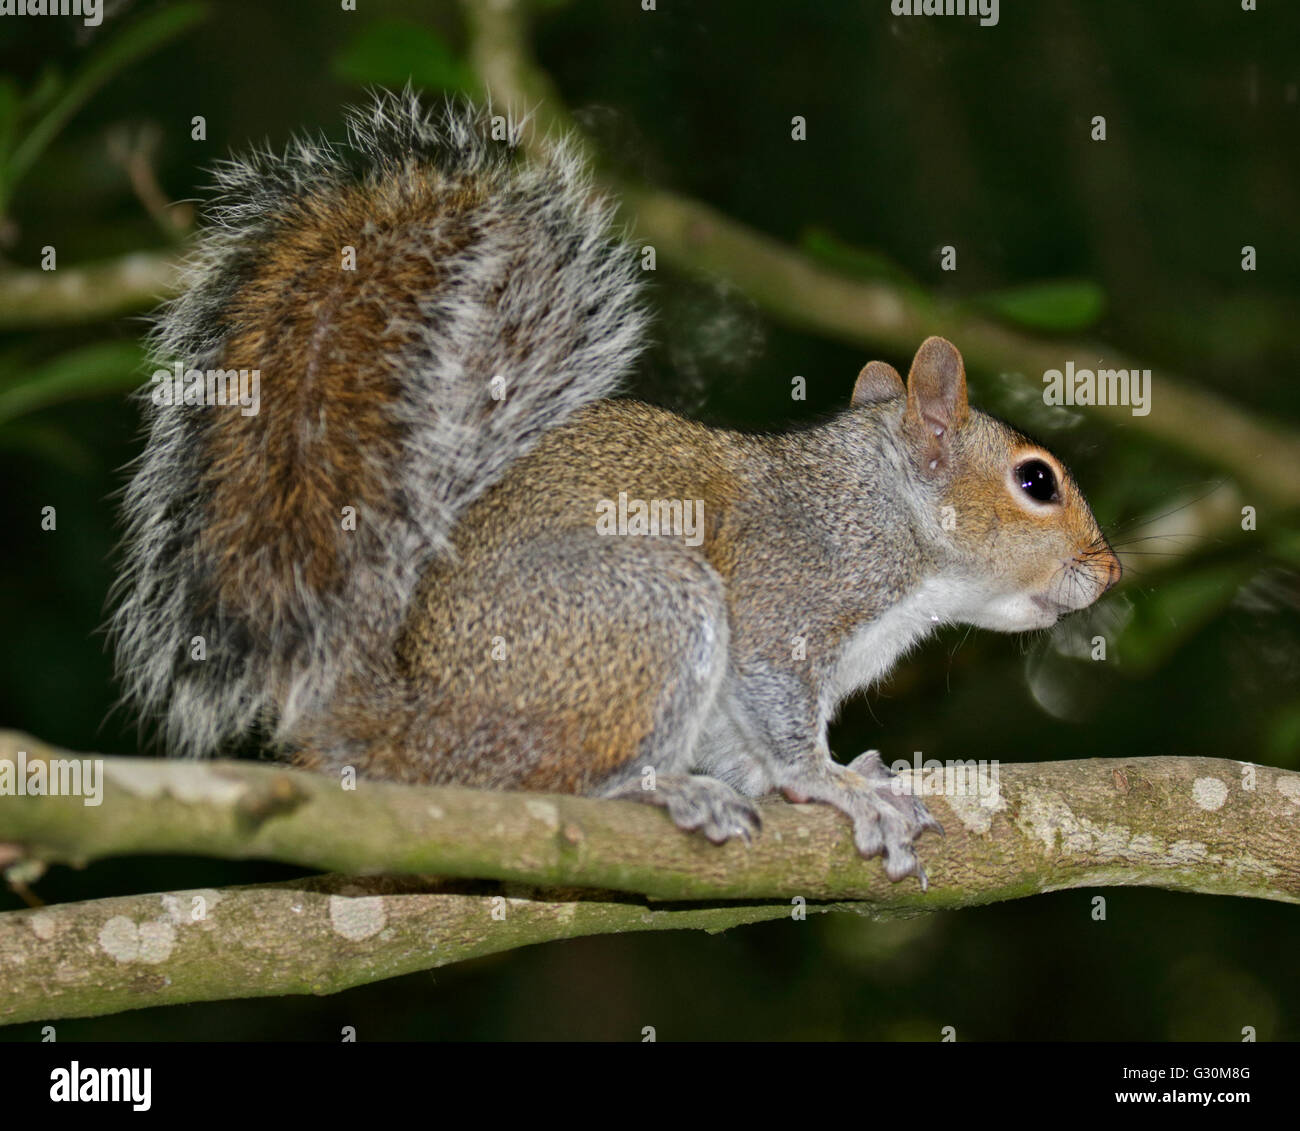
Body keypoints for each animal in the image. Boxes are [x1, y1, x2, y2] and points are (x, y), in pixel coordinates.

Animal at [110, 91, 1121, 886]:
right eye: (1036, 481)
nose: (1110, 570)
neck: (892, 518)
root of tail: (399, 735)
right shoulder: (790, 589)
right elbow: (778, 709)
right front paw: (833, 784)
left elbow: (748, 740)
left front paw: (839, 777)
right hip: (641, 614)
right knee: (556, 781)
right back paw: (658, 787)